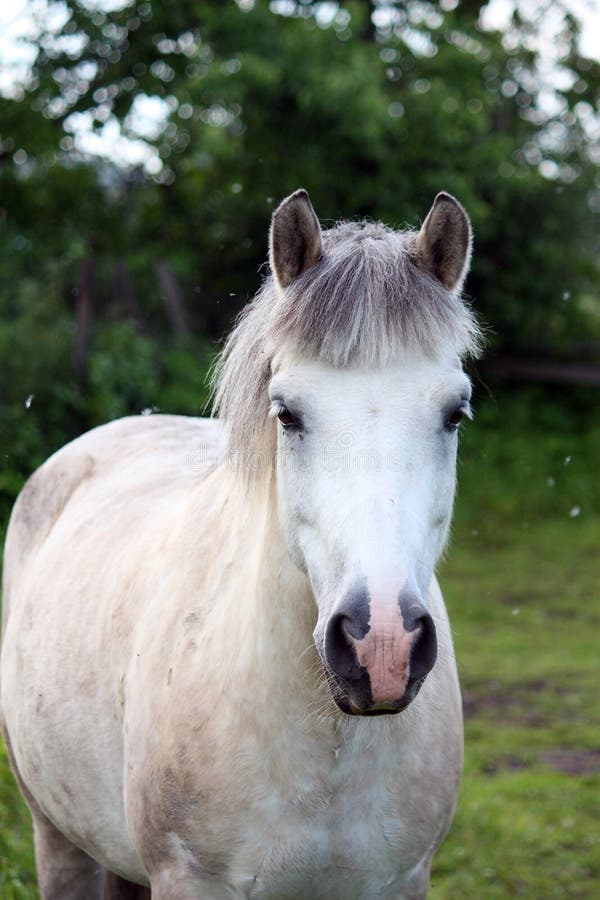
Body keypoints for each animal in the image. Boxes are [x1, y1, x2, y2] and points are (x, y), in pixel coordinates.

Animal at [1, 188, 481, 899]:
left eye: (455, 413)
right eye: (287, 414)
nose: (383, 646)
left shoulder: (402, 880)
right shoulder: (189, 880)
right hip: (54, 835)